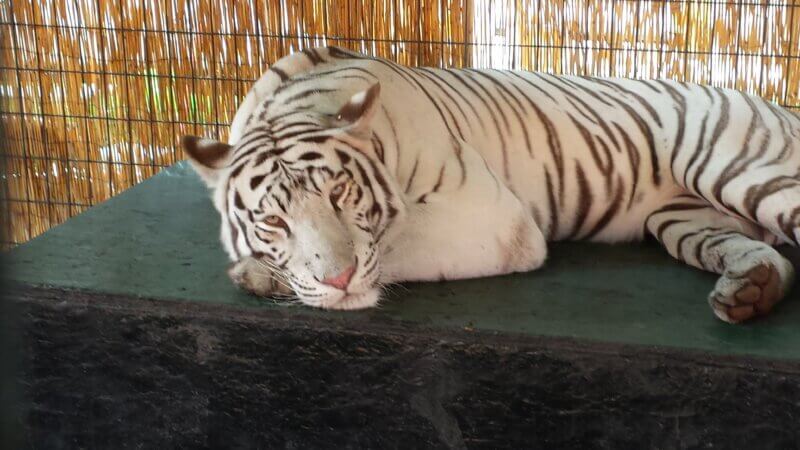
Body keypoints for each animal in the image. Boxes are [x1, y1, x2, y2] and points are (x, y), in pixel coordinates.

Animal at [181, 46, 800, 324]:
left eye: (339, 194)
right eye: (273, 220)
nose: (337, 281)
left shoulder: (489, 215)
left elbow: (388, 244)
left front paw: (262, 275)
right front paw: (275, 273)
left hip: (736, 169)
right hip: (681, 218)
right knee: (761, 252)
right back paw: (752, 289)